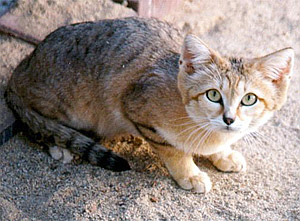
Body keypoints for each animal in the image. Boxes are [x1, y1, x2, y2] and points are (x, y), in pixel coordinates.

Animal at [5, 17, 294, 193]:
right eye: (213, 95)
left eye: (249, 99)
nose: (229, 119)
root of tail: (25, 64)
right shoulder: (136, 110)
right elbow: (175, 151)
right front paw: (190, 174)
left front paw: (223, 154)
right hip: (71, 108)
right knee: (37, 124)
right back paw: (59, 145)